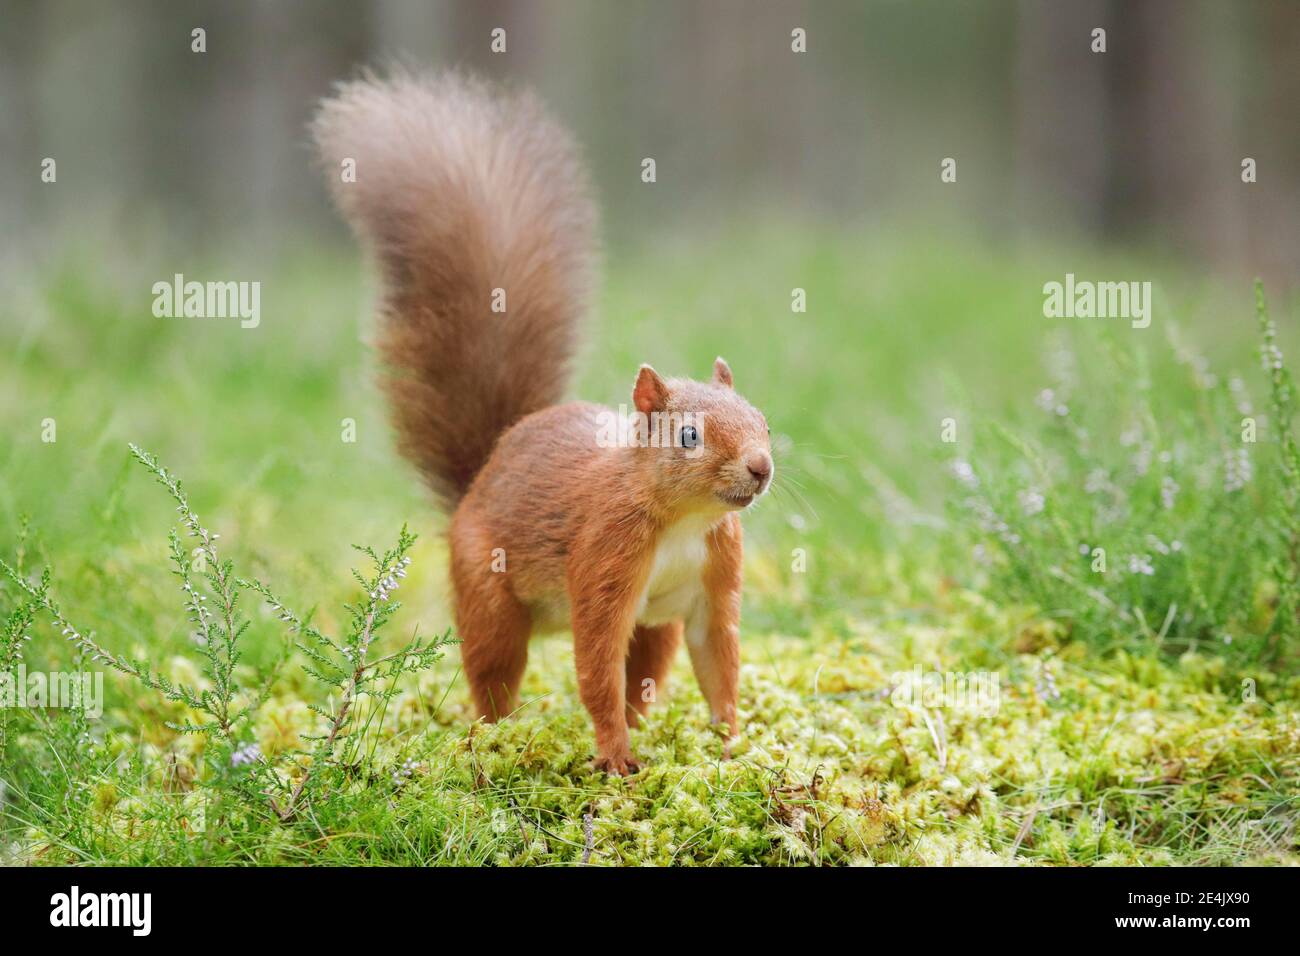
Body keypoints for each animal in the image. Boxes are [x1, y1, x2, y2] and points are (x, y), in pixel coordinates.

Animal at [312, 70, 774, 775]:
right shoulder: (604, 558)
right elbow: (596, 666)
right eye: (690, 435)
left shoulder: (714, 583)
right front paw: (616, 758)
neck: (684, 522)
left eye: (763, 421)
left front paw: (731, 743)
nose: (761, 467)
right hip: (488, 593)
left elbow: (718, 662)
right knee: (494, 671)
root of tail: (479, 479)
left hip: (656, 627)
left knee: (646, 672)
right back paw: (493, 739)